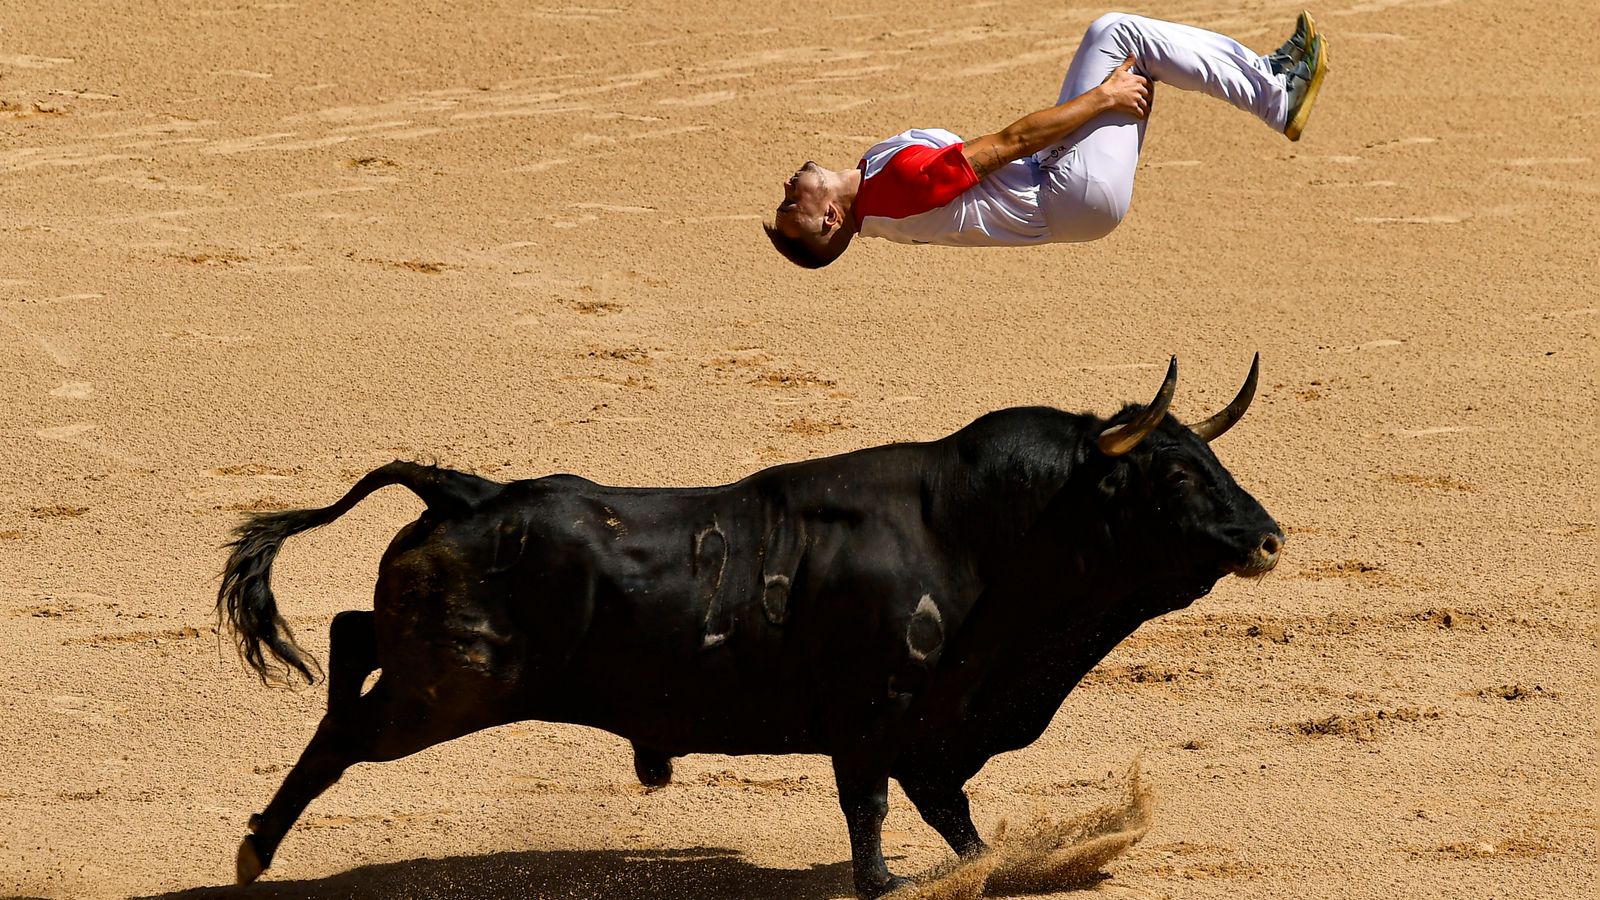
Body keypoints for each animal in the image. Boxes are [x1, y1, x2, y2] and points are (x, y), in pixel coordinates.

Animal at [218, 356, 1282, 898]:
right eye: (1174, 474)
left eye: (1210, 462)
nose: (1270, 537)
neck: (979, 530)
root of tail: (466, 491)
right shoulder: (876, 716)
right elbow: (877, 807)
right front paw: (889, 883)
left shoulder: (931, 722)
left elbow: (951, 812)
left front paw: (993, 864)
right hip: (447, 691)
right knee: (345, 732)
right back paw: (255, 852)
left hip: (430, 670)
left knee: (350, 638)